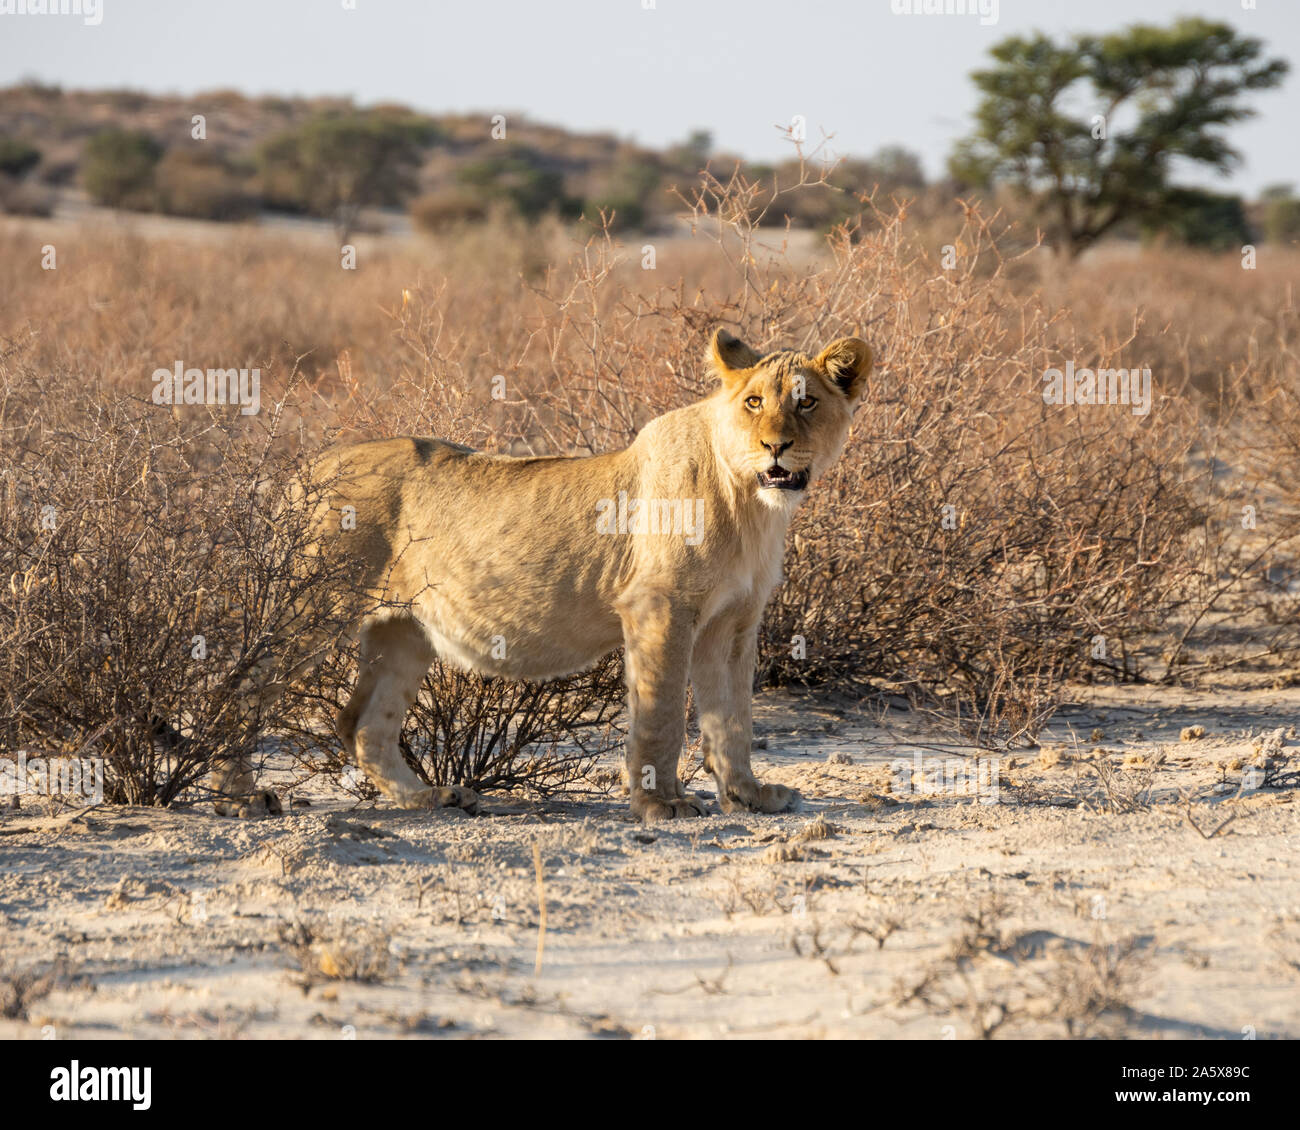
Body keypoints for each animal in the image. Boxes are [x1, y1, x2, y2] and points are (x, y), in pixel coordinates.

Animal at [215, 328, 871, 822]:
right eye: (754, 402)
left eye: (806, 402)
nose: (775, 447)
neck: (752, 502)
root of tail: (309, 466)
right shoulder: (658, 607)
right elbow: (661, 714)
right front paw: (661, 805)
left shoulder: (733, 621)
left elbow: (731, 714)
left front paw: (749, 795)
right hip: (310, 608)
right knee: (241, 684)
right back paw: (241, 797)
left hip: (404, 630)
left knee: (363, 723)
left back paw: (432, 798)